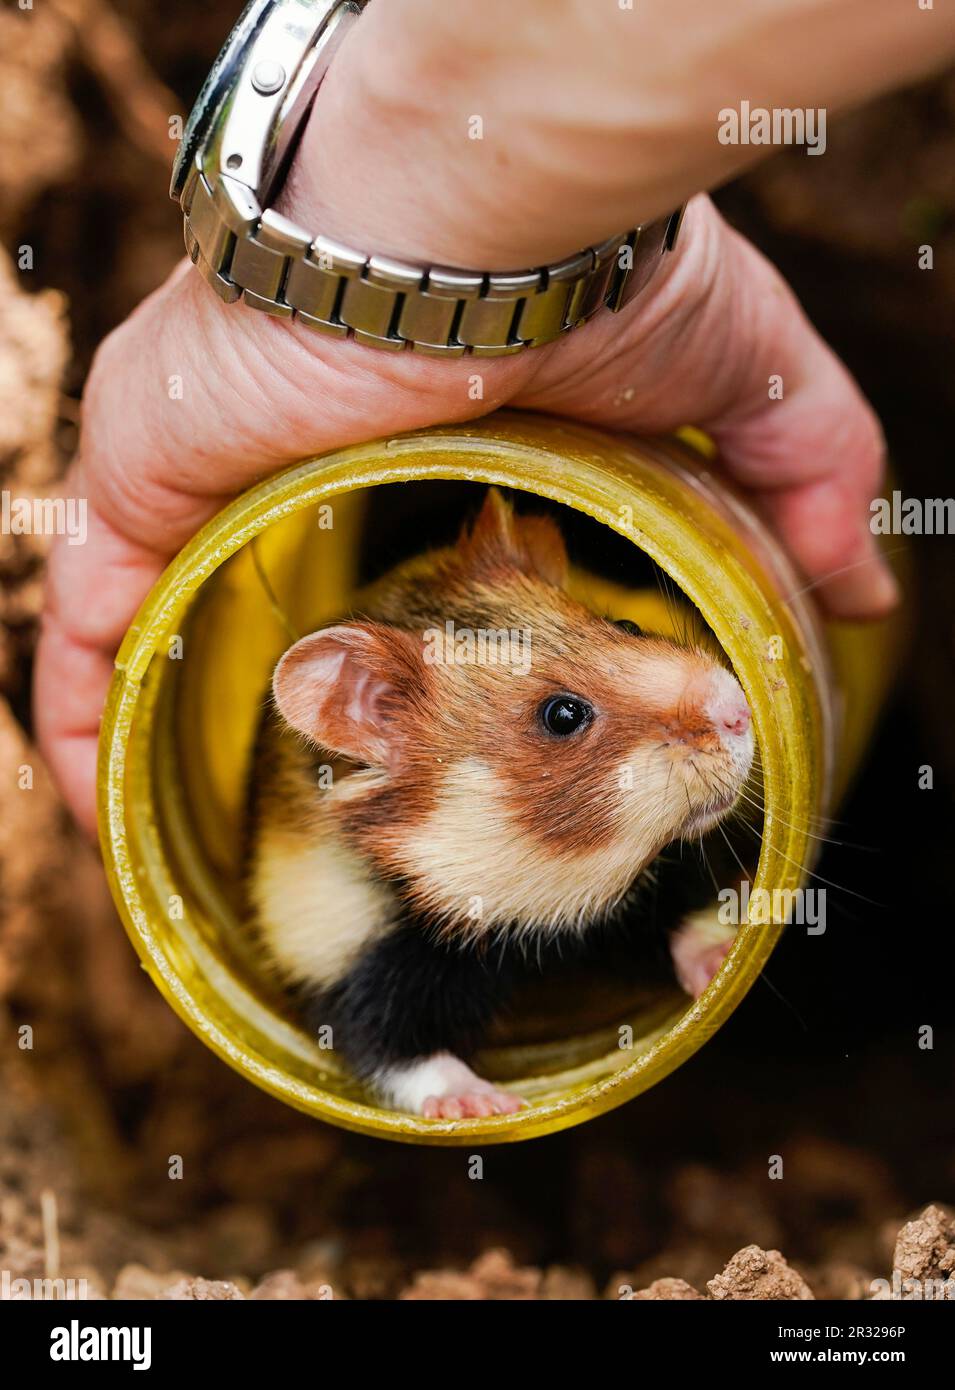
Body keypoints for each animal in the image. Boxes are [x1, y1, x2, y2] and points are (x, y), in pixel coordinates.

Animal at [245, 489, 755, 1119]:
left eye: (626, 625)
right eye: (562, 714)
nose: (739, 711)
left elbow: (673, 921)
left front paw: (722, 956)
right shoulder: (347, 952)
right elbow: (393, 1047)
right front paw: (484, 1107)